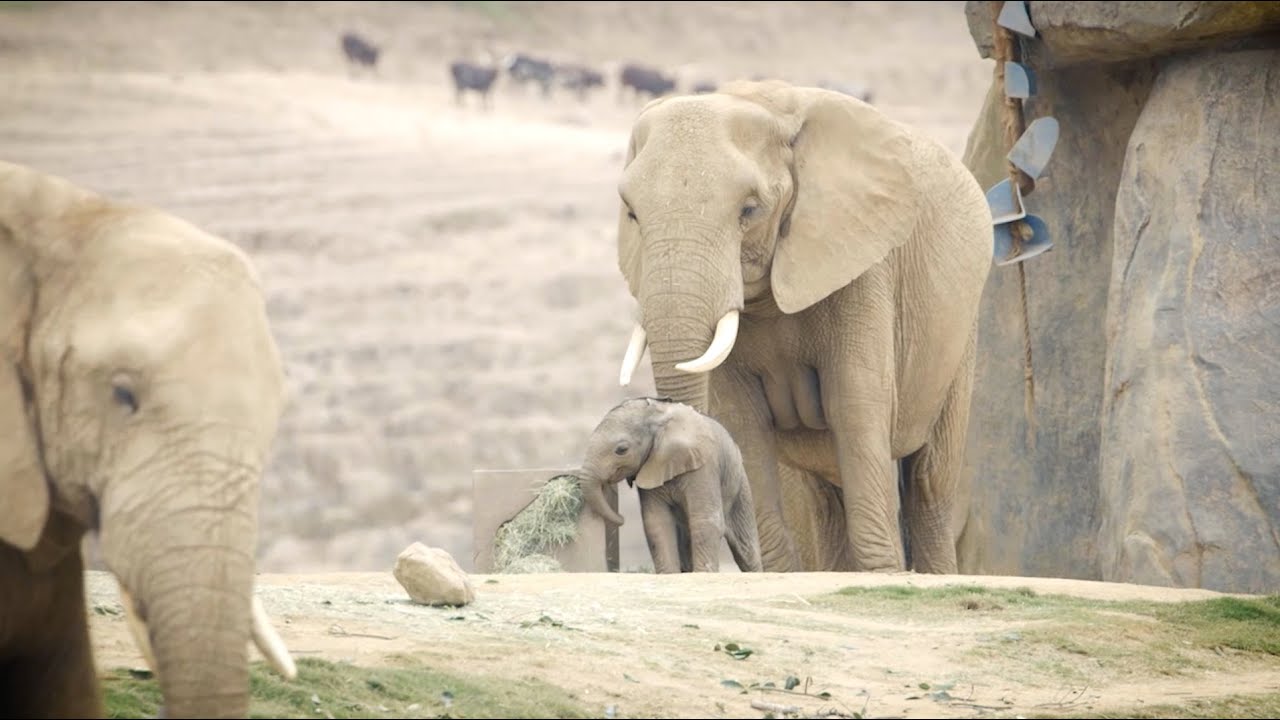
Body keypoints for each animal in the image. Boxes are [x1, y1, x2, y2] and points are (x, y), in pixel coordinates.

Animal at [574, 397, 763, 574]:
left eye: (621, 450)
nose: (621, 518)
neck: (657, 418)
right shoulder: (650, 467)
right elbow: (657, 522)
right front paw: (669, 574)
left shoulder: (704, 466)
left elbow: (706, 519)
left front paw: (703, 574)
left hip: (739, 482)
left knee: (746, 548)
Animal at [613, 80, 993, 575]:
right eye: (632, 215)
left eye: (749, 210)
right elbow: (744, 422)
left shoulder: (863, 263)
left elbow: (854, 403)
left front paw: (883, 574)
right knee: (823, 494)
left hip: (961, 330)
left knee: (929, 481)